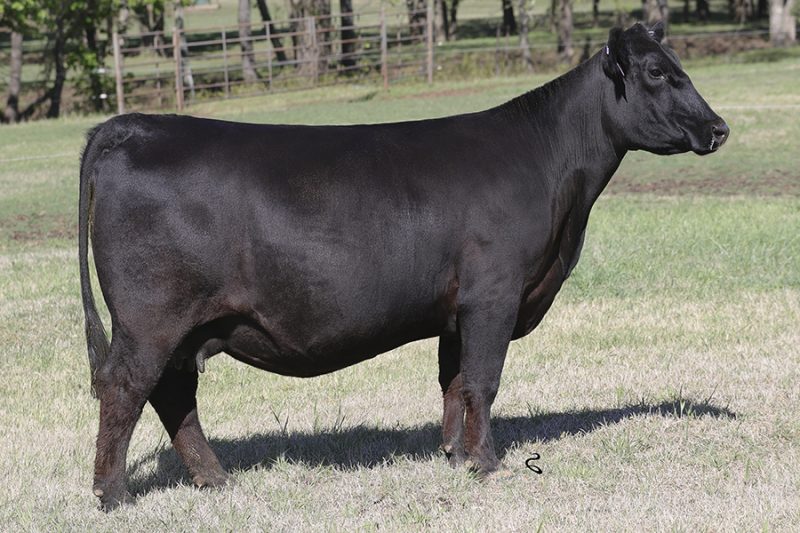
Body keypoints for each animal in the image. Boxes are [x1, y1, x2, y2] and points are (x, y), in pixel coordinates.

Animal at [79, 22, 728, 510]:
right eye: (656, 73)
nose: (718, 128)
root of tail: (133, 124)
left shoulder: (456, 310)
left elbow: (456, 381)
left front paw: (455, 455)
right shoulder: (494, 293)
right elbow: (484, 380)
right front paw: (488, 464)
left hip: (185, 326)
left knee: (172, 393)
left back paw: (215, 480)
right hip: (151, 318)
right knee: (126, 386)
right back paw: (114, 495)